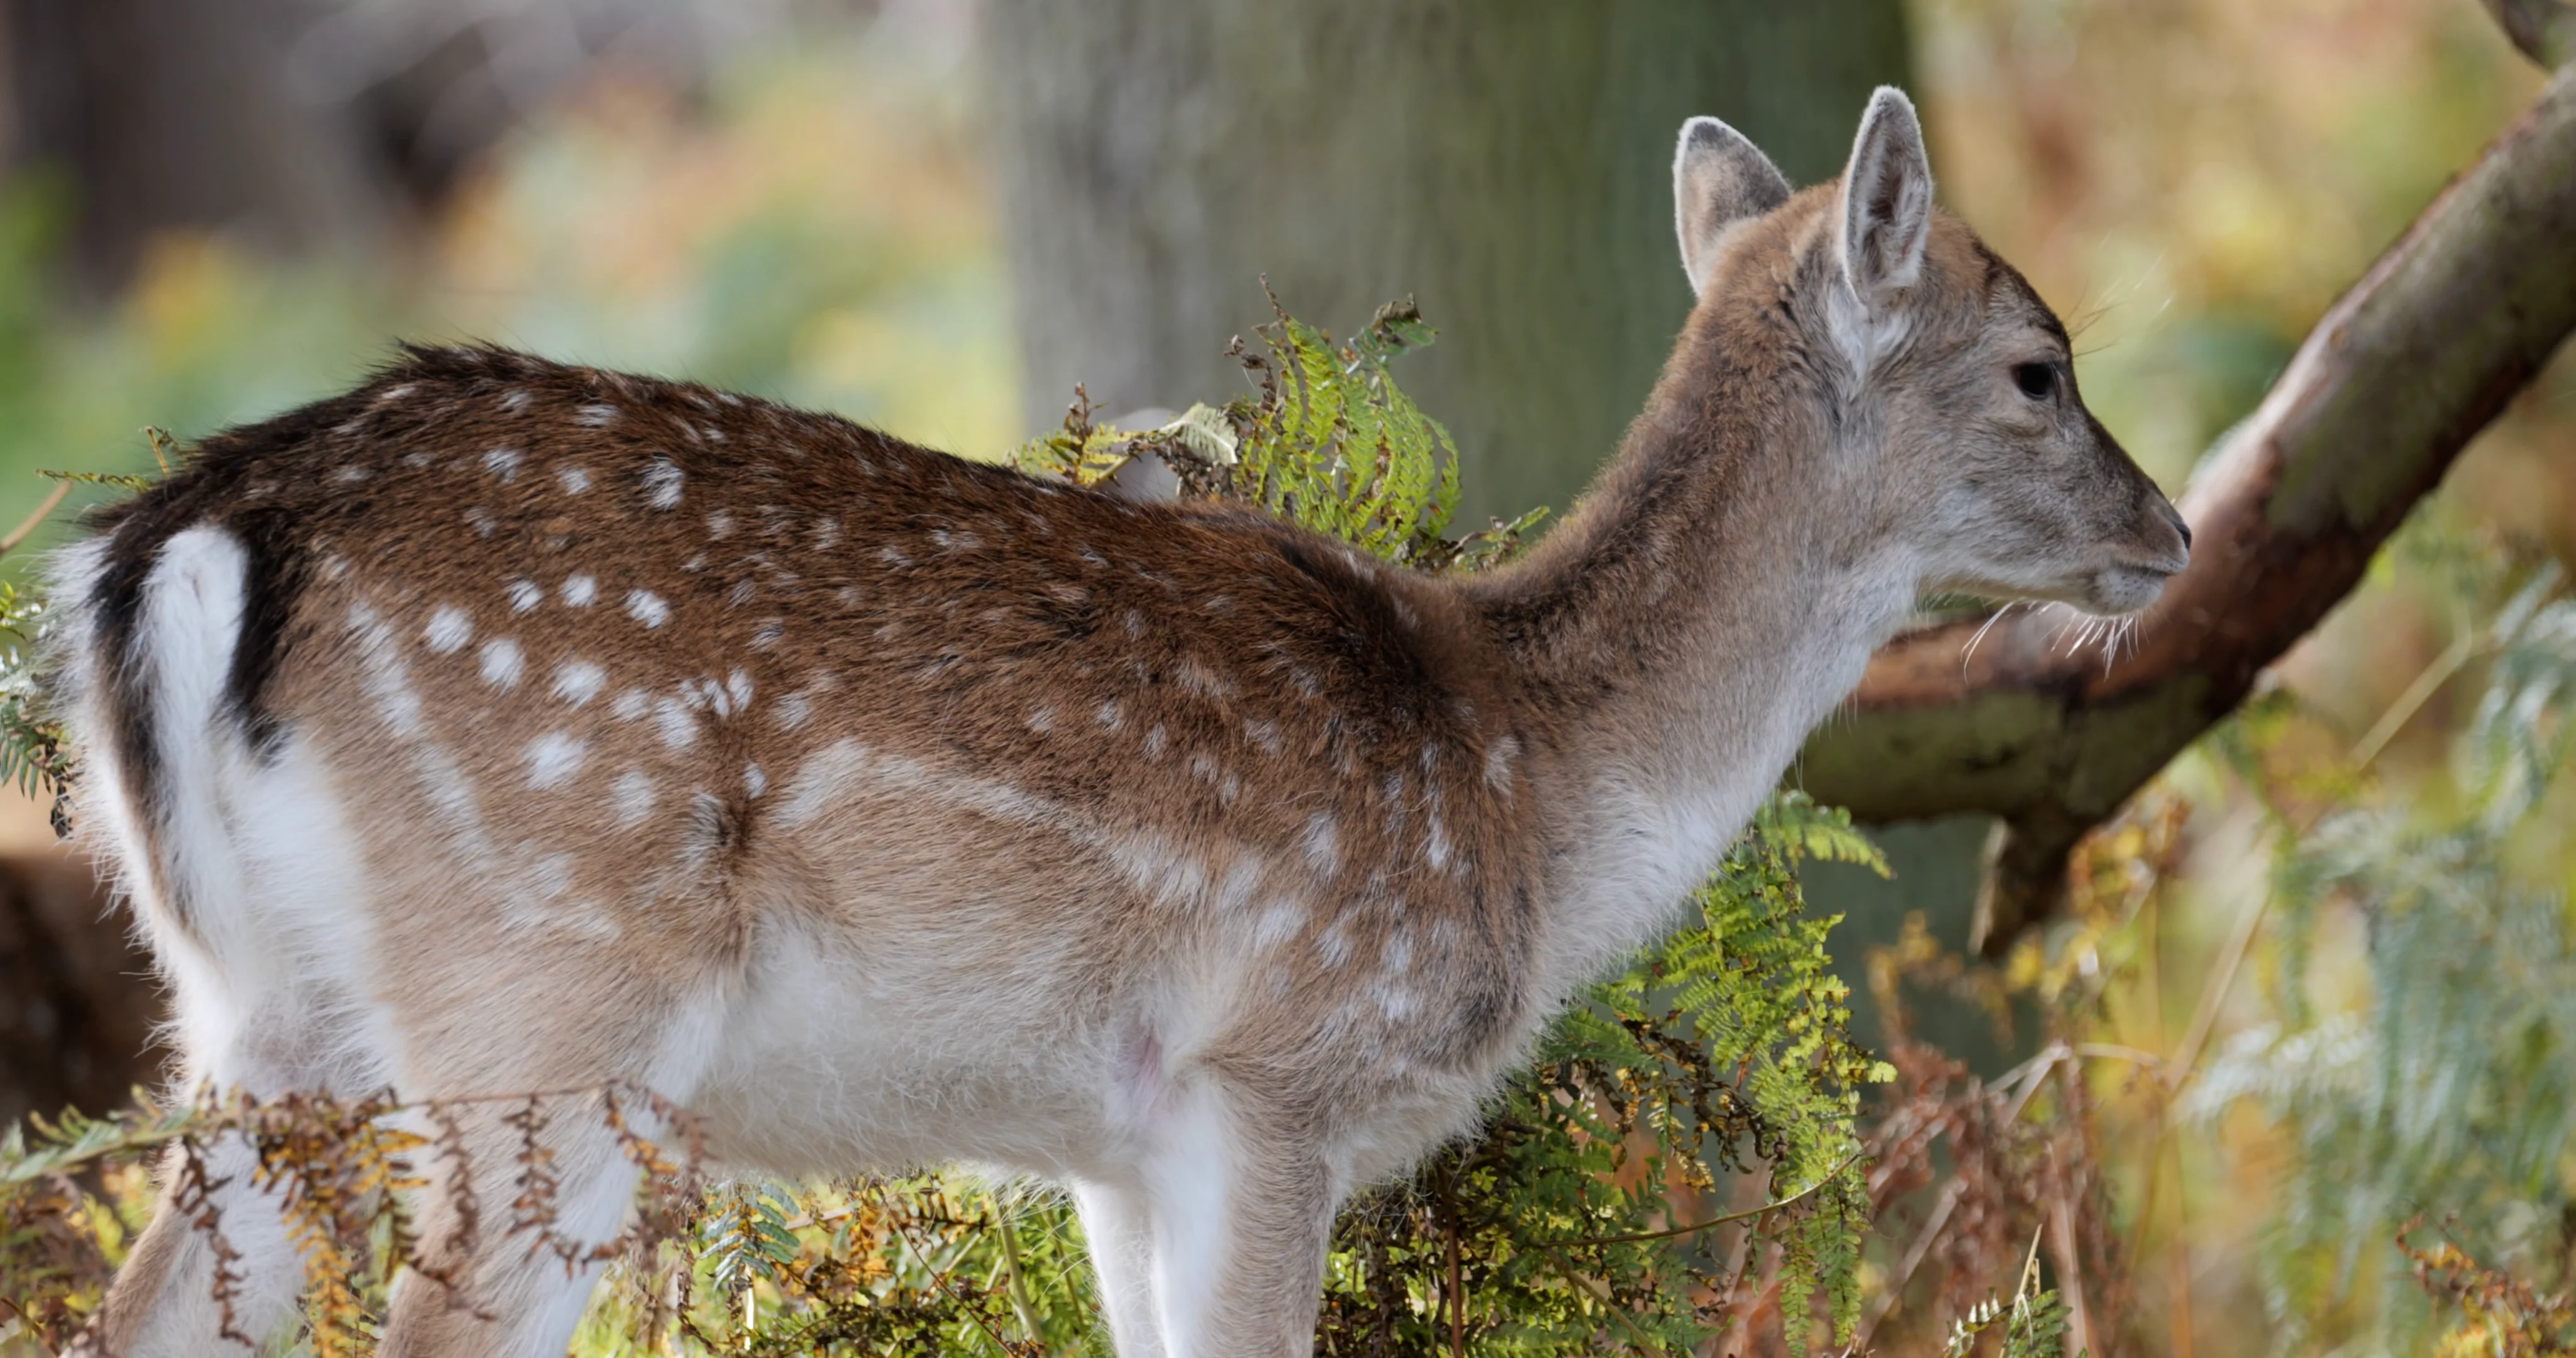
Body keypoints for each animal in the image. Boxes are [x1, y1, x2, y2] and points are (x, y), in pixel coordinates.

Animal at [48, 87, 2187, 1357]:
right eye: (2038, 365)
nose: (2169, 534)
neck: (1527, 784)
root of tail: (190, 537)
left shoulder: (1108, 1142)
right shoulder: (1273, 1074)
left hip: (260, 1022)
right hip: (548, 1007)